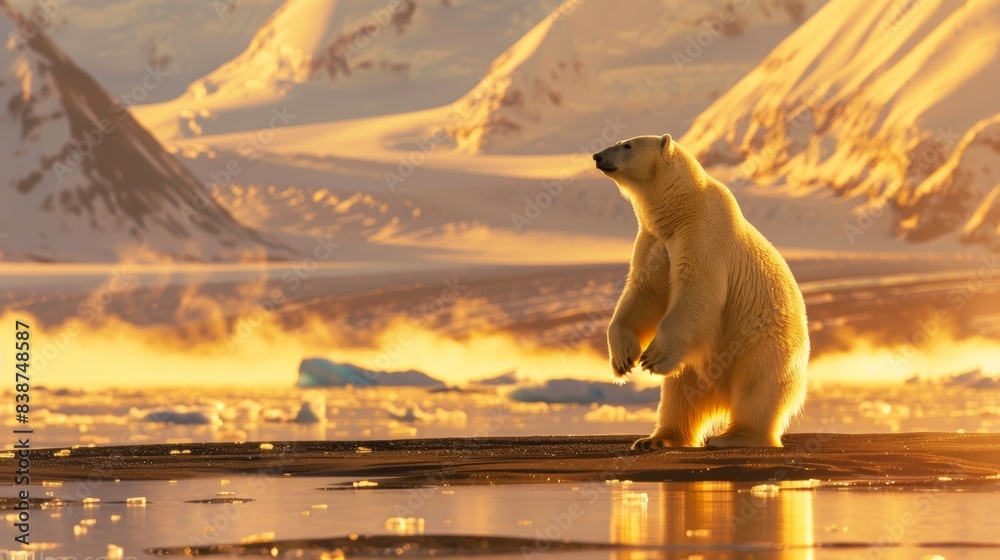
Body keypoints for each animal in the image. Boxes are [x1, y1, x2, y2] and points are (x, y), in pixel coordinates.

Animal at [593, 134, 809, 450]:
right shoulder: (655, 240)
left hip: (759, 343)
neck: (682, 209)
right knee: (680, 393)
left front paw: (651, 355)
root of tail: (721, 395)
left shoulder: (703, 234)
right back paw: (657, 439)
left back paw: (734, 436)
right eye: (620, 141)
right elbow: (644, 293)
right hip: (698, 365)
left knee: (756, 386)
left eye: (628, 145)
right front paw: (624, 358)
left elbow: (697, 292)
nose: (597, 156)